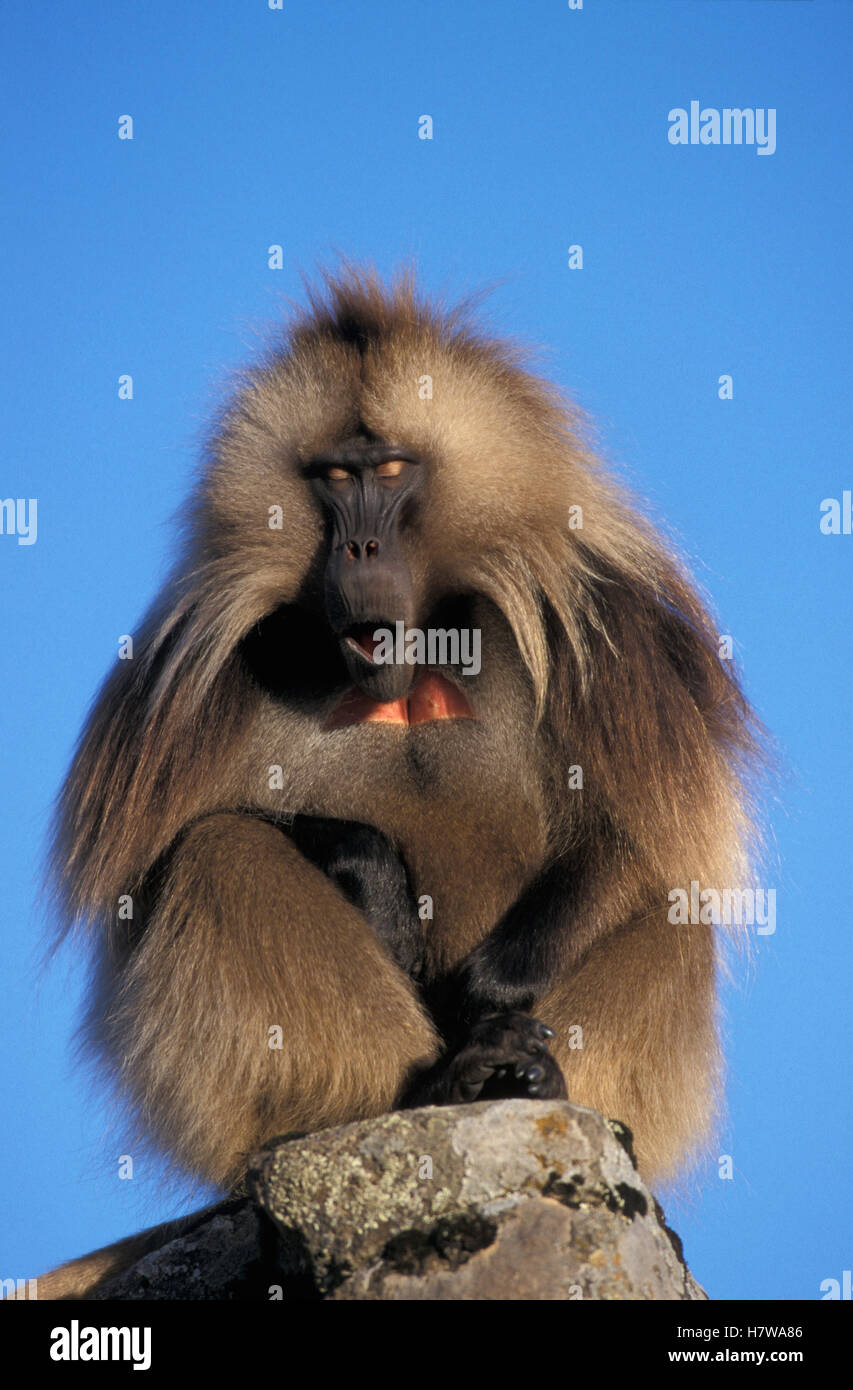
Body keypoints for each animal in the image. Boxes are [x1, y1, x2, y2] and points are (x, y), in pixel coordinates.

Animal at [47, 266, 763, 1264]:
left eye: (388, 472)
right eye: (332, 478)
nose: (358, 547)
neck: (417, 665)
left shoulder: (612, 637)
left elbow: (651, 845)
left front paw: (489, 997)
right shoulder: (184, 680)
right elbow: (143, 873)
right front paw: (375, 878)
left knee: (675, 905)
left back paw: (522, 1073)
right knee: (219, 852)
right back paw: (437, 1085)